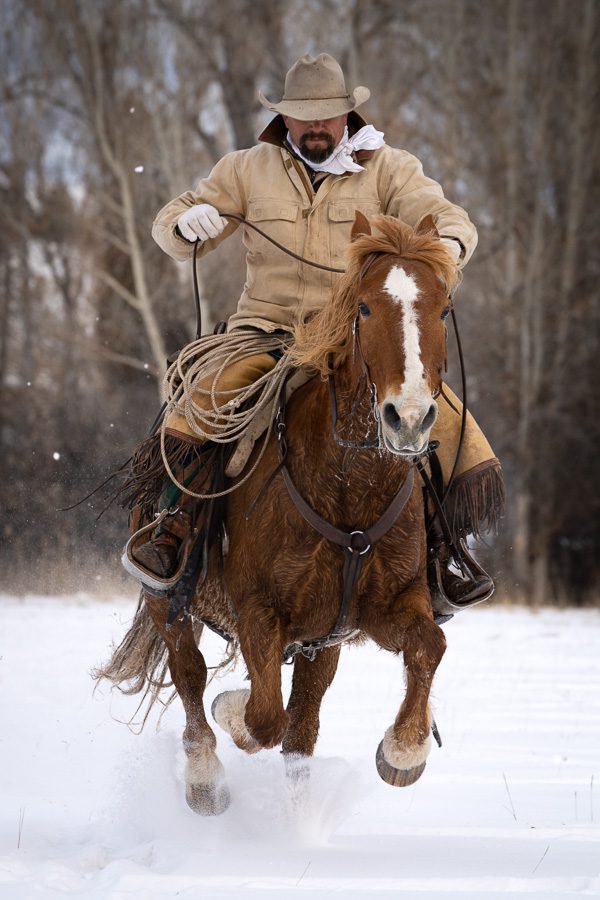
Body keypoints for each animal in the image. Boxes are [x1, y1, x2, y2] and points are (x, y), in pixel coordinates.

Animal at [99, 211, 460, 815]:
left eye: (442, 307)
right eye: (364, 307)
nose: (408, 417)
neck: (349, 489)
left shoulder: (385, 607)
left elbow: (429, 646)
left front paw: (404, 751)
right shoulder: (258, 612)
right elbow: (263, 717)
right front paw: (232, 712)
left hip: (322, 644)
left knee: (302, 724)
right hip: (167, 599)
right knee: (191, 675)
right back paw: (204, 777)